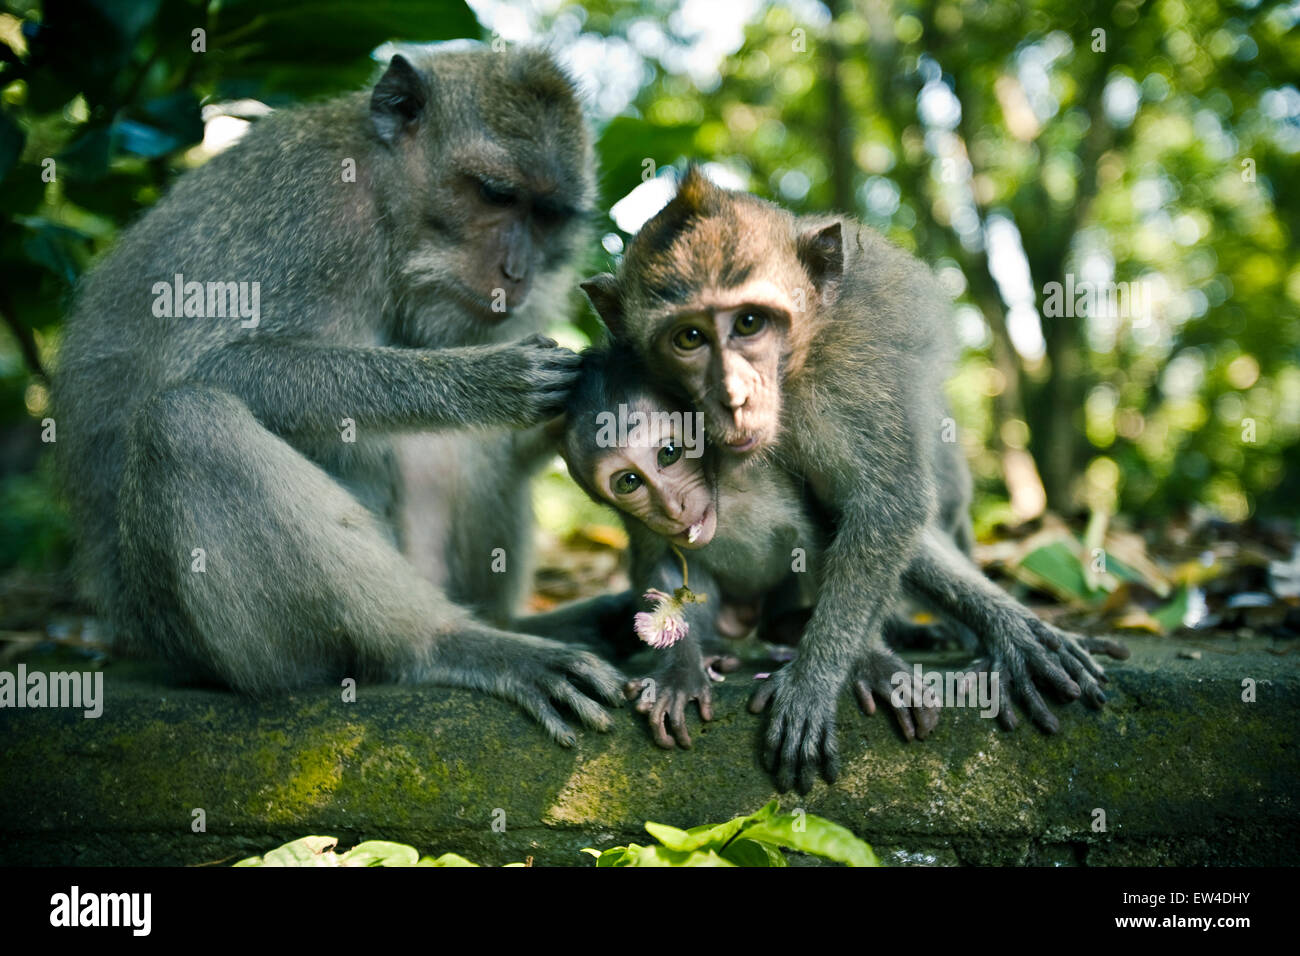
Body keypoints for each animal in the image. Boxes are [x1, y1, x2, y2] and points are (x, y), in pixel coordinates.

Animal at [52, 46, 627, 747]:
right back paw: (453, 644)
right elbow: (212, 365)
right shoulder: (310, 213)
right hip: (201, 643)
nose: (517, 274)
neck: (384, 205)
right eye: (496, 195)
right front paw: (488, 381)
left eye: (547, 216)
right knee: (185, 423)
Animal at [580, 168, 1124, 790]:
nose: (734, 398)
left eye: (748, 323)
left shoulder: (854, 380)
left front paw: (819, 675)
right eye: (688, 338)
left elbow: (886, 504)